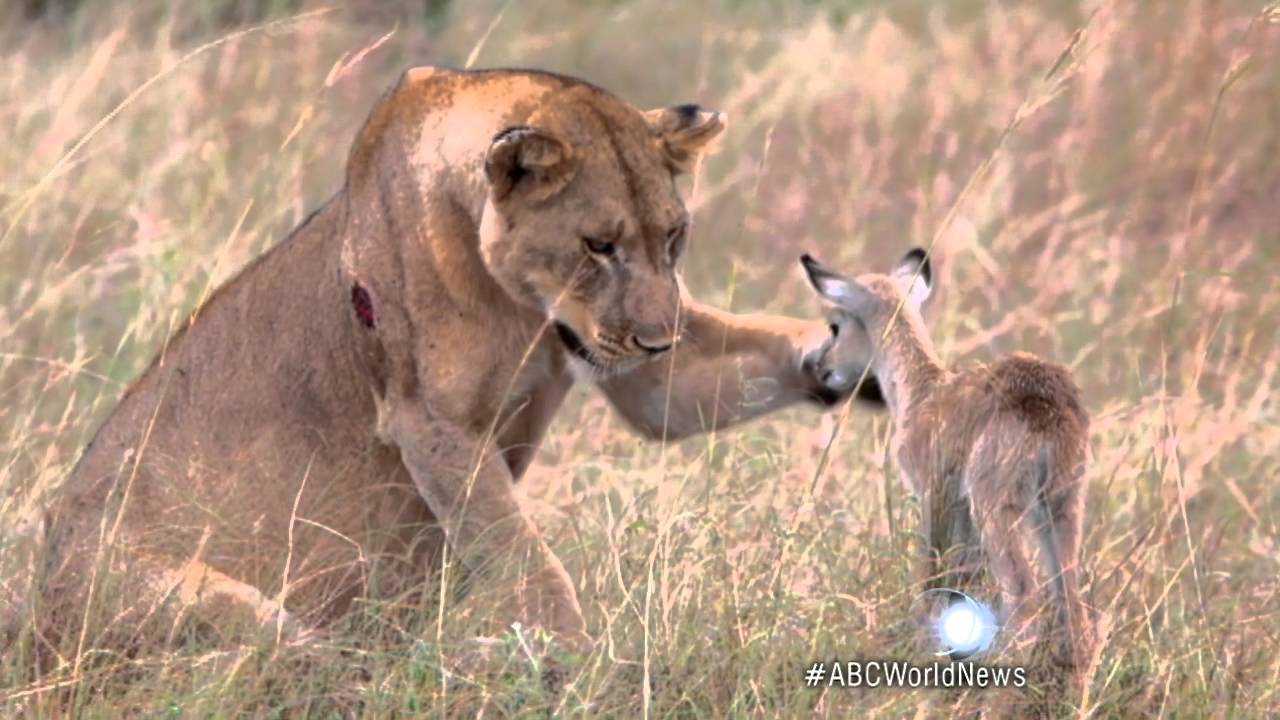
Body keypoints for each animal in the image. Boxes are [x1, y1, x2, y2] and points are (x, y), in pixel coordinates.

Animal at [9, 67, 883, 661]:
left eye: (673, 236)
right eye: (597, 245)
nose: (656, 337)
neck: (521, 306)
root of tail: (35, 626)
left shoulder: (645, 376)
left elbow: (747, 356)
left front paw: (861, 353)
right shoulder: (434, 427)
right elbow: (527, 563)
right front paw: (576, 662)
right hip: (201, 598)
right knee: (294, 668)